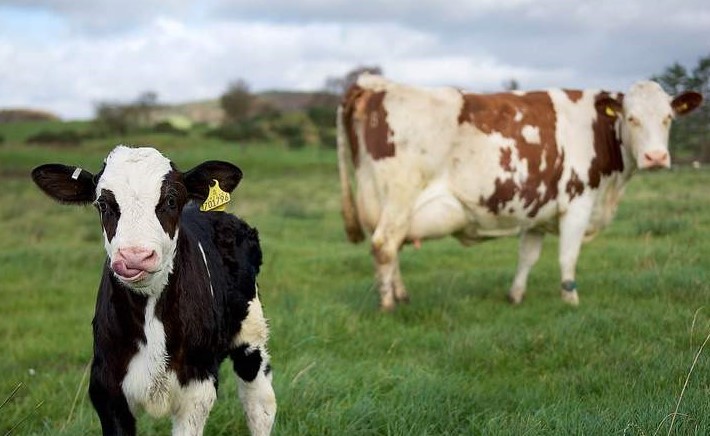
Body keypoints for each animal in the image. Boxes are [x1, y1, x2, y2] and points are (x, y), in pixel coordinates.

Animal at [31, 146, 276, 435]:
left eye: (170, 200)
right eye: (103, 204)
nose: (135, 257)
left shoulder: (197, 389)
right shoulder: (107, 390)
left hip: (251, 334)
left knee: (259, 404)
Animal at [337, 74, 702, 311]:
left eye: (669, 118)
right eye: (631, 117)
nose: (656, 157)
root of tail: (377, 84)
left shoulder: (537, 211)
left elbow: (527, 256)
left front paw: (515, 296)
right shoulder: (578, 202)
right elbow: (568, 256)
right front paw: (571, 299)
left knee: (392, 246)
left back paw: (400, 295)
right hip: (399, 195)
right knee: (384, 245)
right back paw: (388, 304)